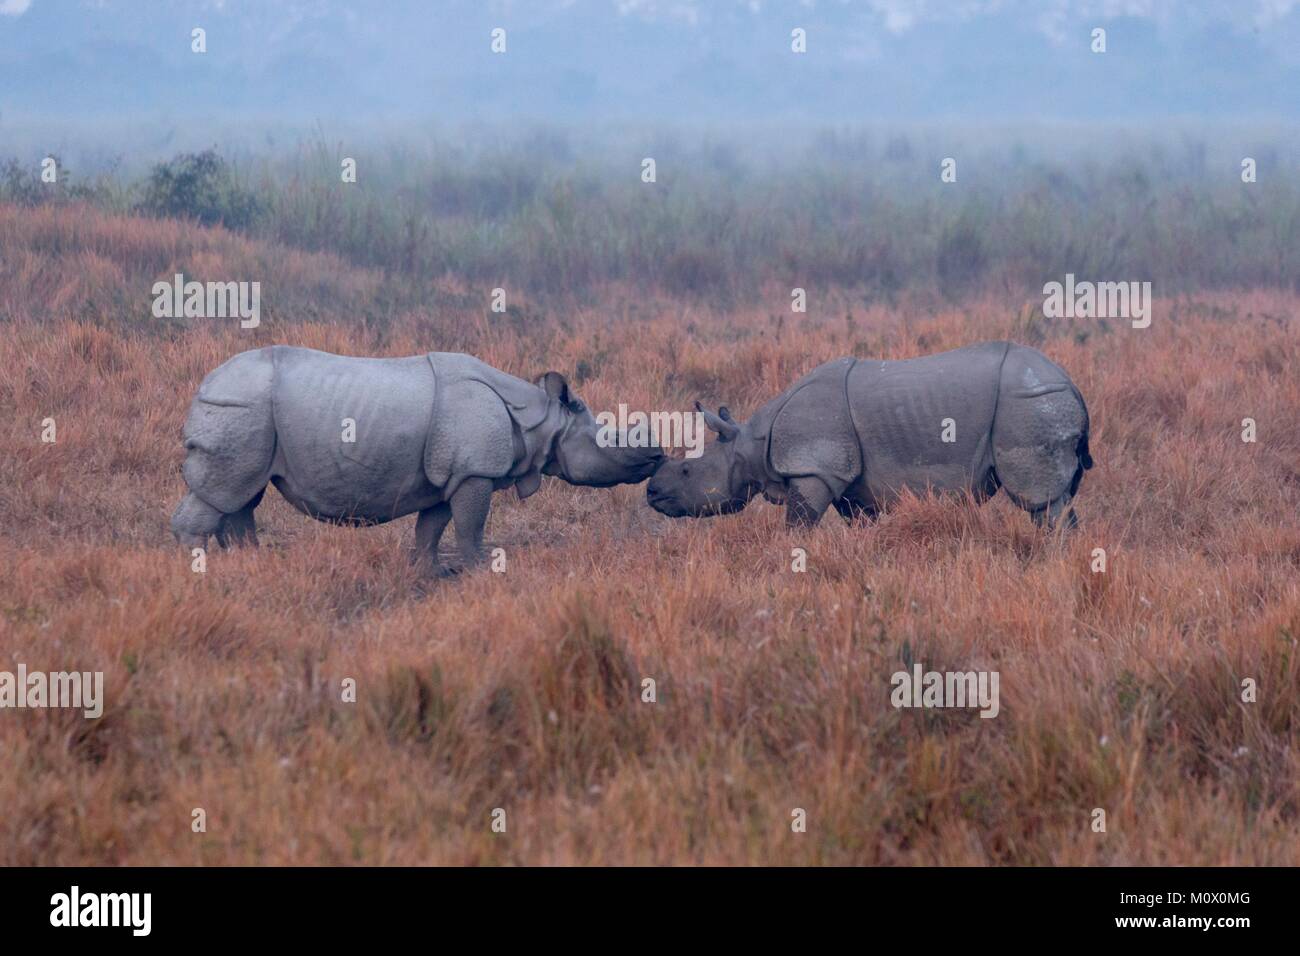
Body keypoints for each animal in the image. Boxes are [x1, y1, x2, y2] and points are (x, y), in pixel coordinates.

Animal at [170, 346, 662, 570]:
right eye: (610, 442)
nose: (656, 456)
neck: (539, 418)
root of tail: (204, 384)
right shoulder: (474, 471)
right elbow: (469, 525)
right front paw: (479, 570)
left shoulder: (449, 475)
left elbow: (432, 526)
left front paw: (430, 572)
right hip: (242, 405)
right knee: (222, 493)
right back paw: (199, 570)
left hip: (248, 413)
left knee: (242, 496)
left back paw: (252, 564)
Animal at [647, 341, 1092, 529]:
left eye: (687, 472)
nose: (651, 493)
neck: (750, 444)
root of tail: (1071, 384)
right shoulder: (850, 483)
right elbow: (860, 524)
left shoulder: (814, 468)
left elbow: (798, 524)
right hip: (1039, 401)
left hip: (1028, 403)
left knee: (1041, 503)